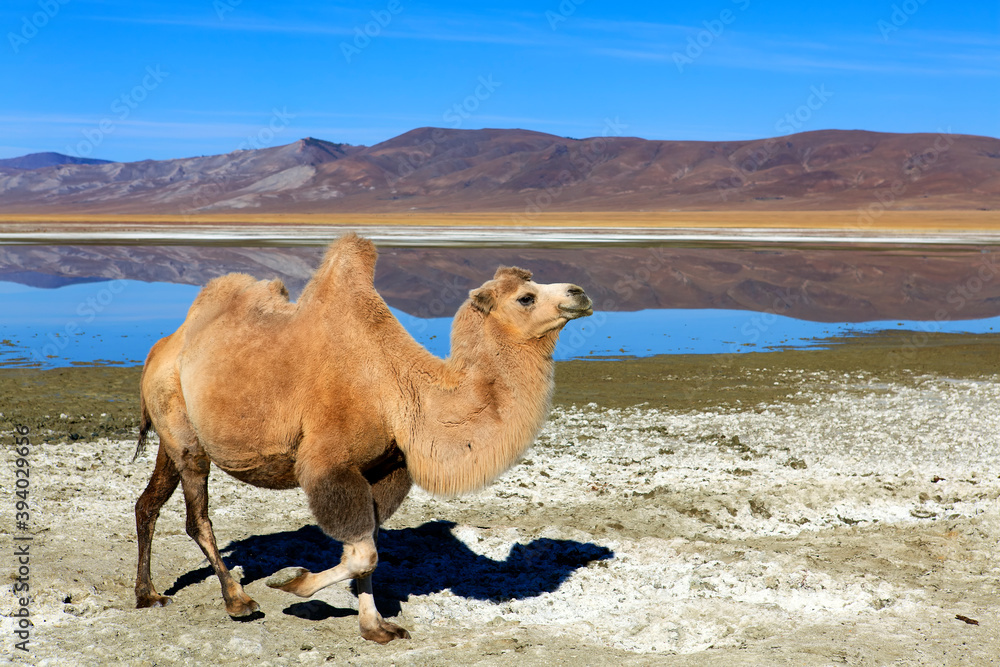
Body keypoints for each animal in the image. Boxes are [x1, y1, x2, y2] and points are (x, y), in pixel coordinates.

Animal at [132, 233, 592, 643]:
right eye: (526, 297)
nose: (580, 292)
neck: (401, 390)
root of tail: (161, 347)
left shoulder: (385, 470)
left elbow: (365, 553)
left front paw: (376, 628)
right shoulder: (328, 462)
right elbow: (362, 552)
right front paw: (293, 582)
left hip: (170, 435)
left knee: (147, 503)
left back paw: (148, 595)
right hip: (184, 433)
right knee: (197, 517)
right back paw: (237, 600)